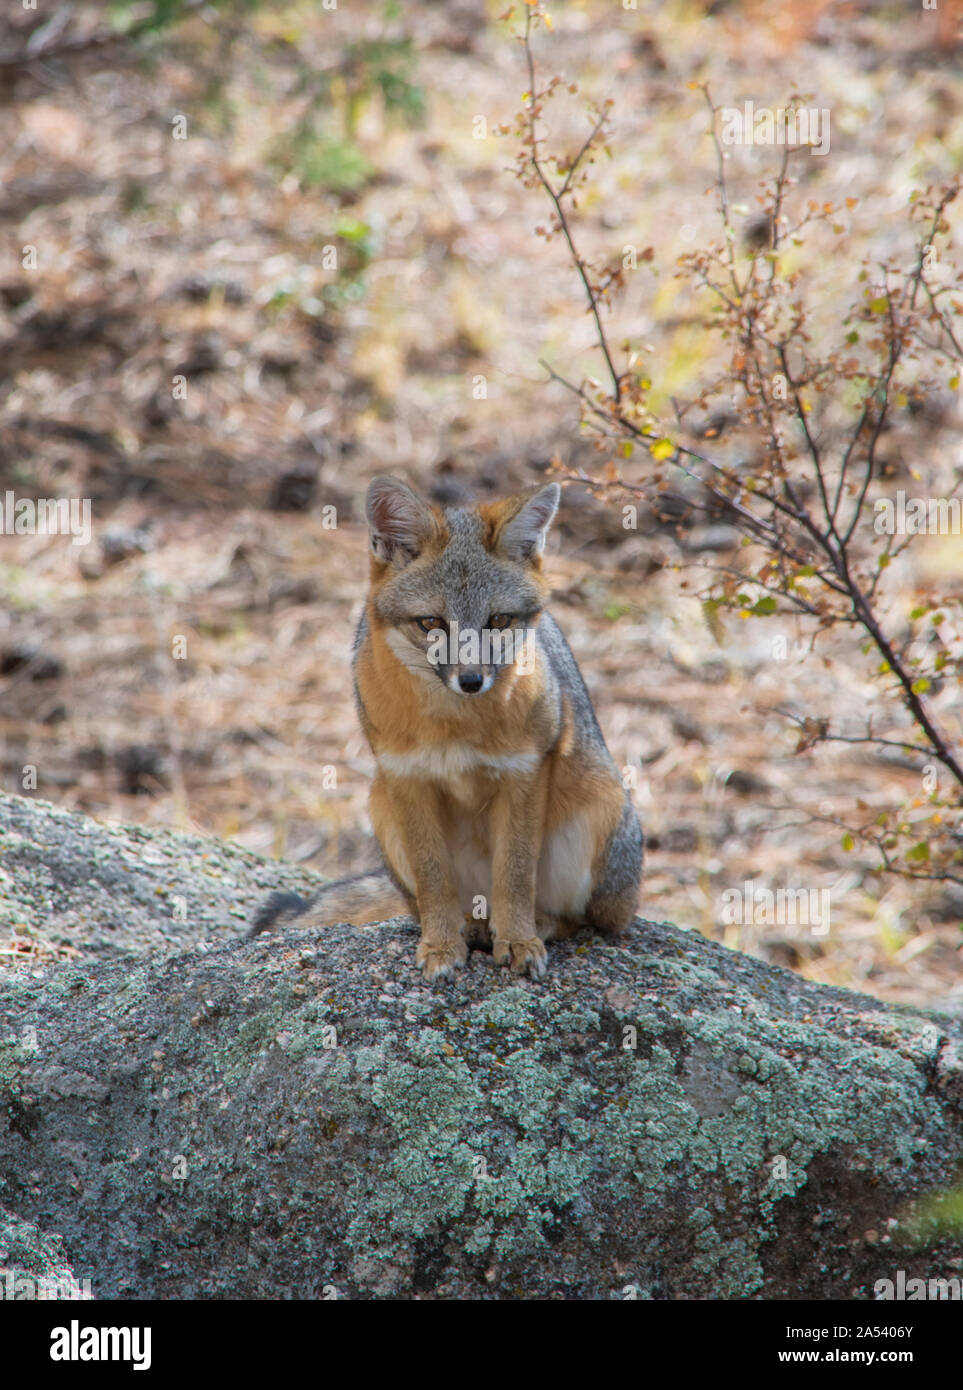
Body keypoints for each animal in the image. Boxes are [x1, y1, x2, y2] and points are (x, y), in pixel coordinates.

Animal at [251, 475, 643, 981]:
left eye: (499, 620)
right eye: (431, 623)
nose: (472, 680)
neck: (454, 724)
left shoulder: (523, 773)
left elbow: (515, 876)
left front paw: (518, 939)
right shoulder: (406, 778)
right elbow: (433, 878)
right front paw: (439, 946)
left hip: (599, 816)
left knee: (584, 920)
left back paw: (533, 924)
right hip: (381, 807)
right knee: (434, 903)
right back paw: (469, 926)